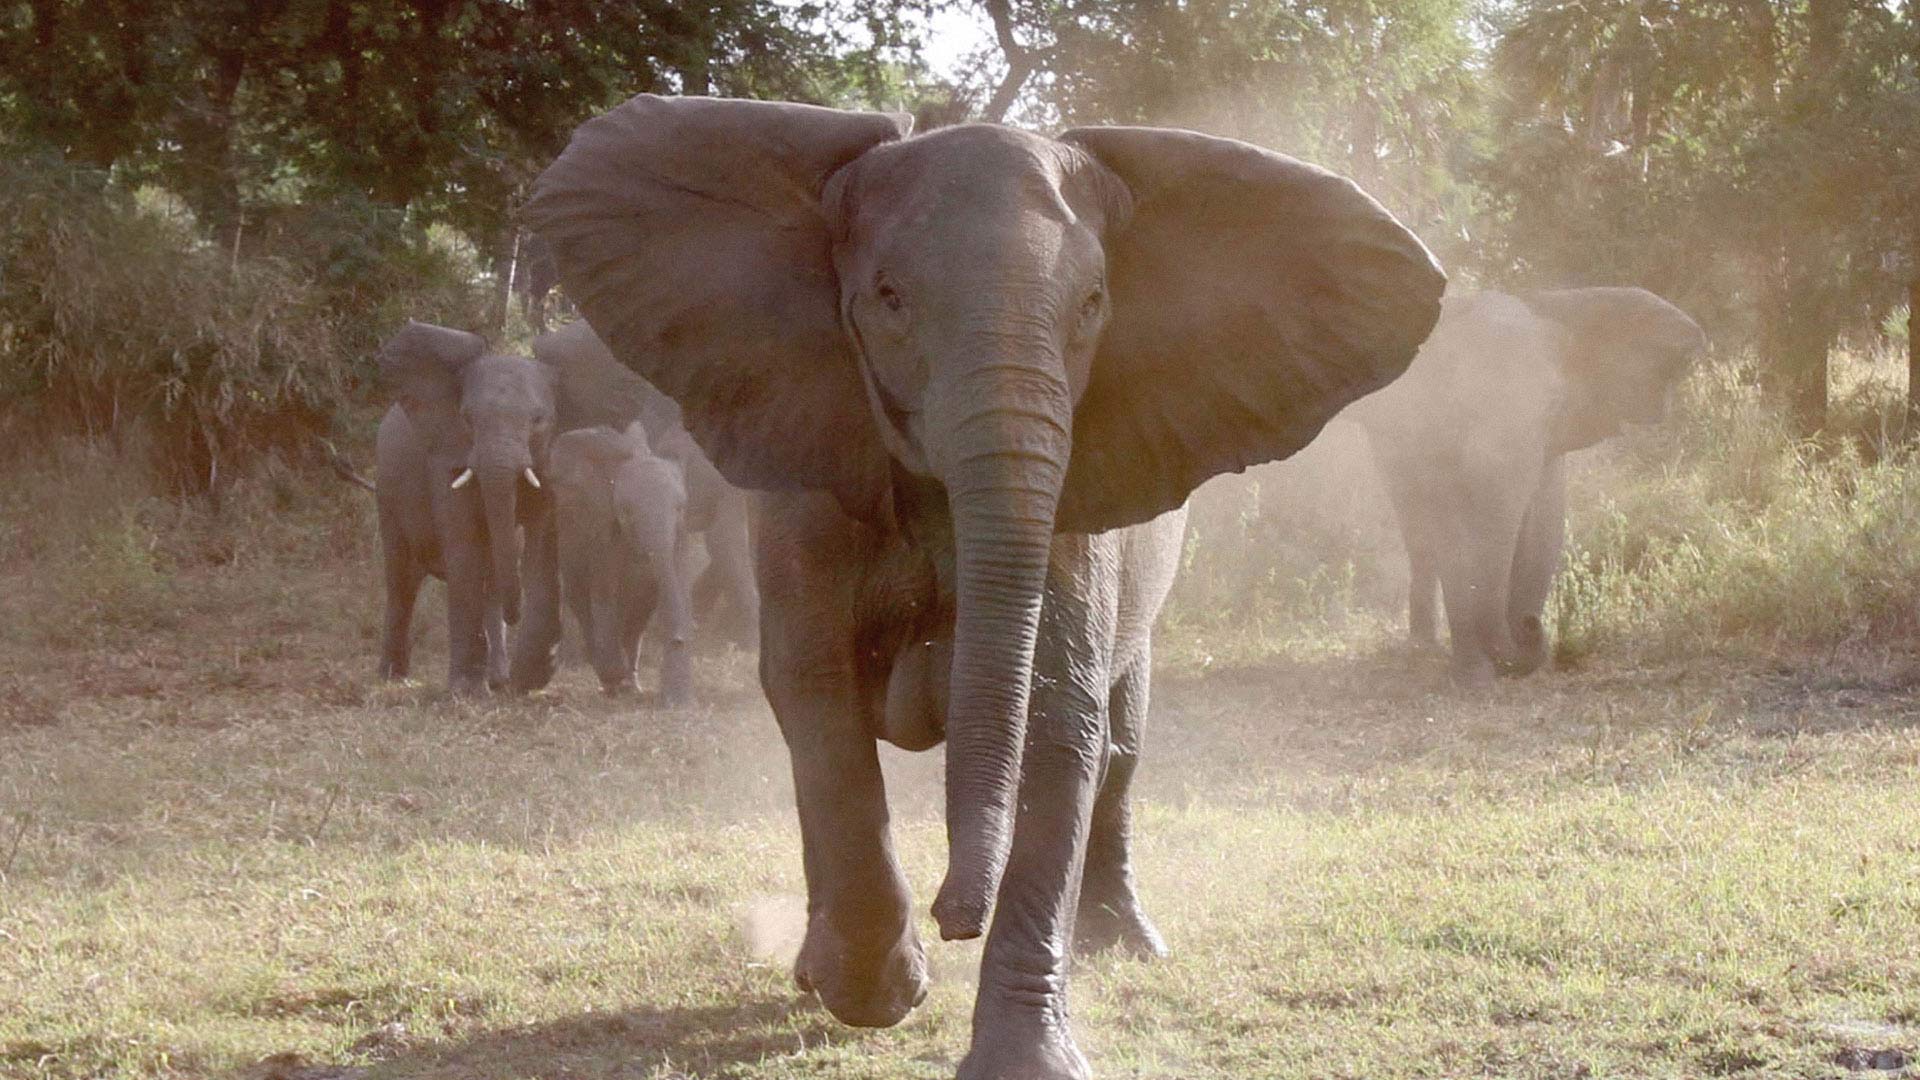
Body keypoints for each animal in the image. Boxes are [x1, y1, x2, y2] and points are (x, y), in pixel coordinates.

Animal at [372, 320, 661, 695]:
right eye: (467, 419)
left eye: (538, 419)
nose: (516, 613)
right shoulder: (447, 455)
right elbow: (464, 545)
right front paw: (466, 692)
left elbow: (542, 540)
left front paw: (528, 680)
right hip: (386, 489)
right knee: (402, 580)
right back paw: (393, 677)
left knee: (491, 582)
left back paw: (497, 679)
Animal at [548, 423, 694, 701]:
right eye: (626, 512)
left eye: (680, 509)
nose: (679, 640)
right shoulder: (603, 531)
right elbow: (604, 593)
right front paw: (613, 677)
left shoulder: (680, 535)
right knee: (583, 602)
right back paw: (611, 682)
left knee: (636, 617)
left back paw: (631, 685)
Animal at [1347, 287, 1707, 682]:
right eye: (1457, 404)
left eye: (1552, 404)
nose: (1531, 623)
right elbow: (1451, 532)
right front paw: (1476, 678)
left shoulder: (1549, 438)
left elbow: (1542, 525)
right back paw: (1423, 653)